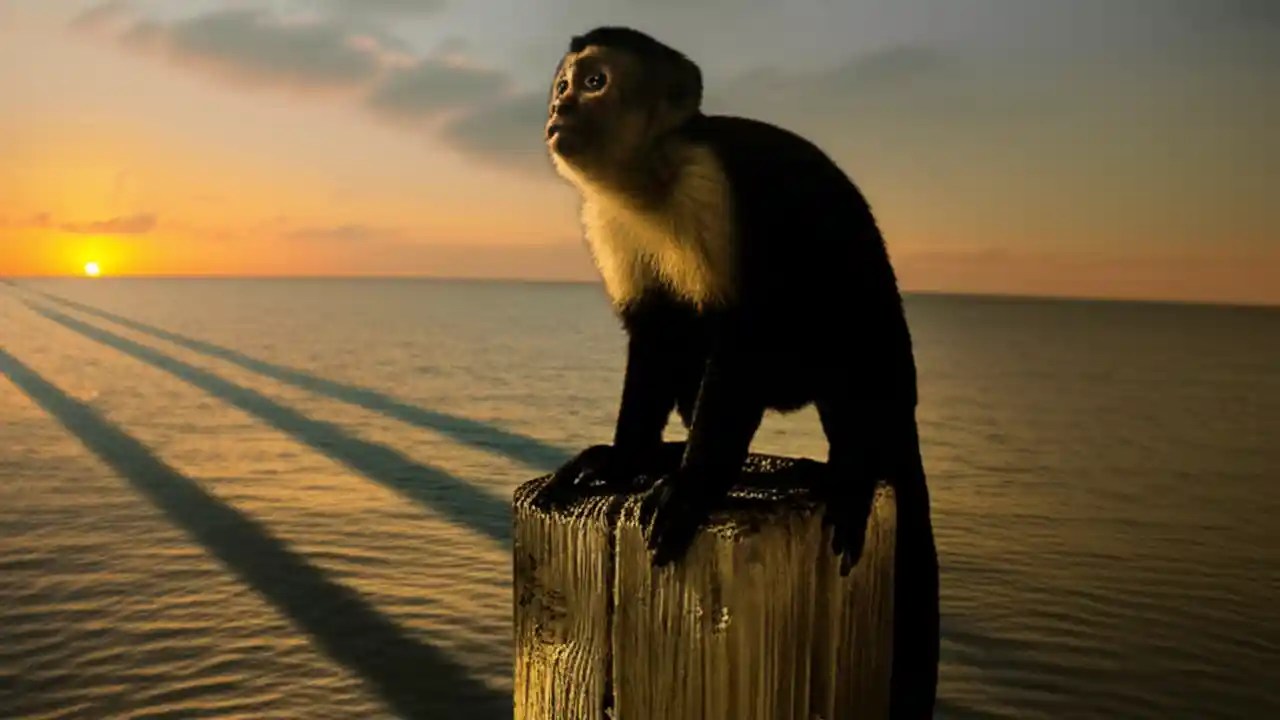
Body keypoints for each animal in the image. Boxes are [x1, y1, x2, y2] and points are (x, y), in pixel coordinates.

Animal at [531, 27, 939, 716]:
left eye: (594, 84)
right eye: (563, 84)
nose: (559, 108)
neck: (654, 182)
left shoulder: (712, 188)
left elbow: (744, 336)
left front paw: (693, 487)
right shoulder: (608, 221)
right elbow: (655, 337)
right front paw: (623, 461)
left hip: (874, 358)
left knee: (835, 328)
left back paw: (846, 472)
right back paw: (678, 459)